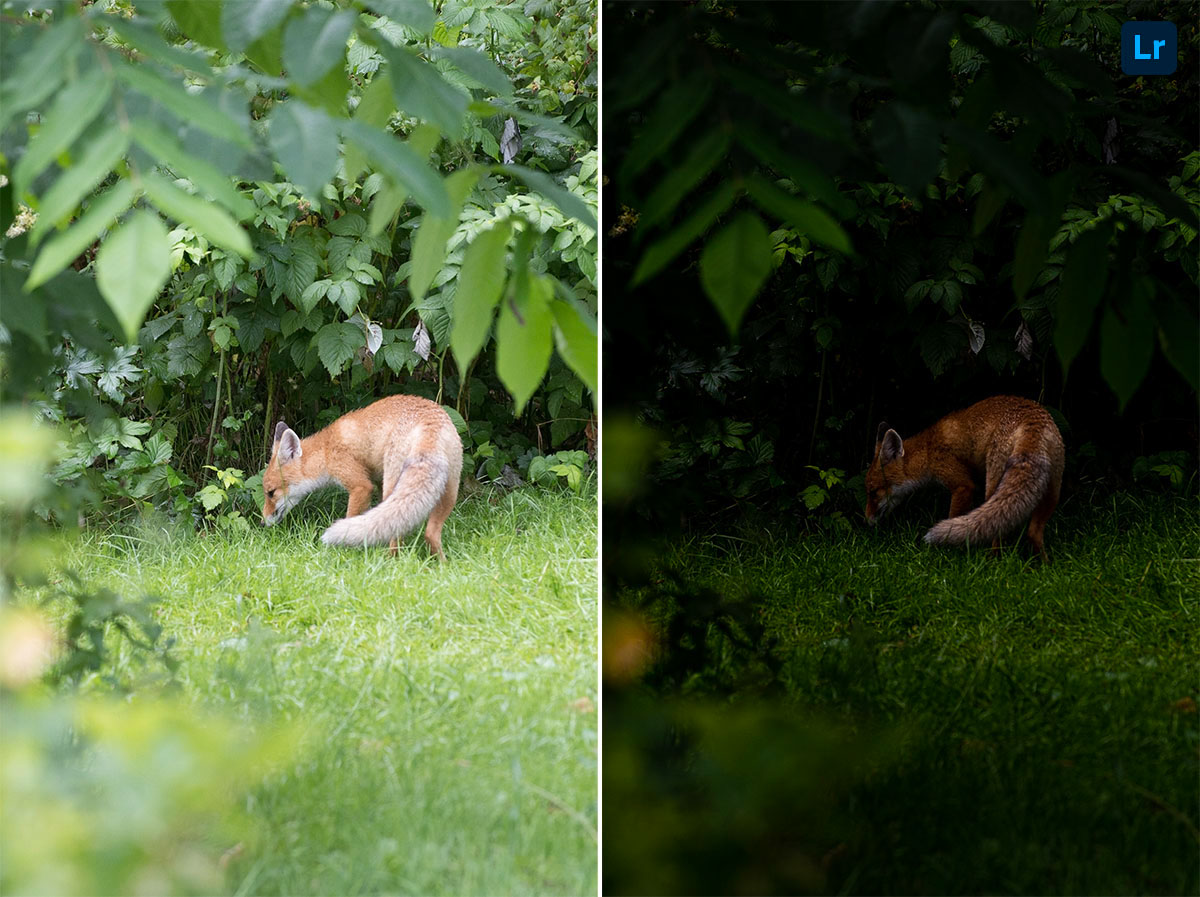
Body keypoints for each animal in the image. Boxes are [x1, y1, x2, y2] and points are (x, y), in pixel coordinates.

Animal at [261, 395, 463, 560]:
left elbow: (352, 516)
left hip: (394, 484)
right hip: (449, 490)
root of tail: (428, 427)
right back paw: (442, 565)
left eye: (271, 493)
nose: (262, 522)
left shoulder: (361, 485)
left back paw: (391, 562)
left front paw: (344, 552)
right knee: (430, 533)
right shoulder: (377, 481)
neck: (325, 450)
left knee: (398, 532)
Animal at [864, 396, 1065, 558]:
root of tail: (1031, 423)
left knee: (998, 529)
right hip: (1053, 490)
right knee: (1033, 533)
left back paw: (993, 562)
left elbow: (954, 516)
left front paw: (946, 552)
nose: (866, 520)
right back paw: (1043, 567)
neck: (928, 449)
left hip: (993, 484)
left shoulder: (961, 484)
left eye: (873, 492)